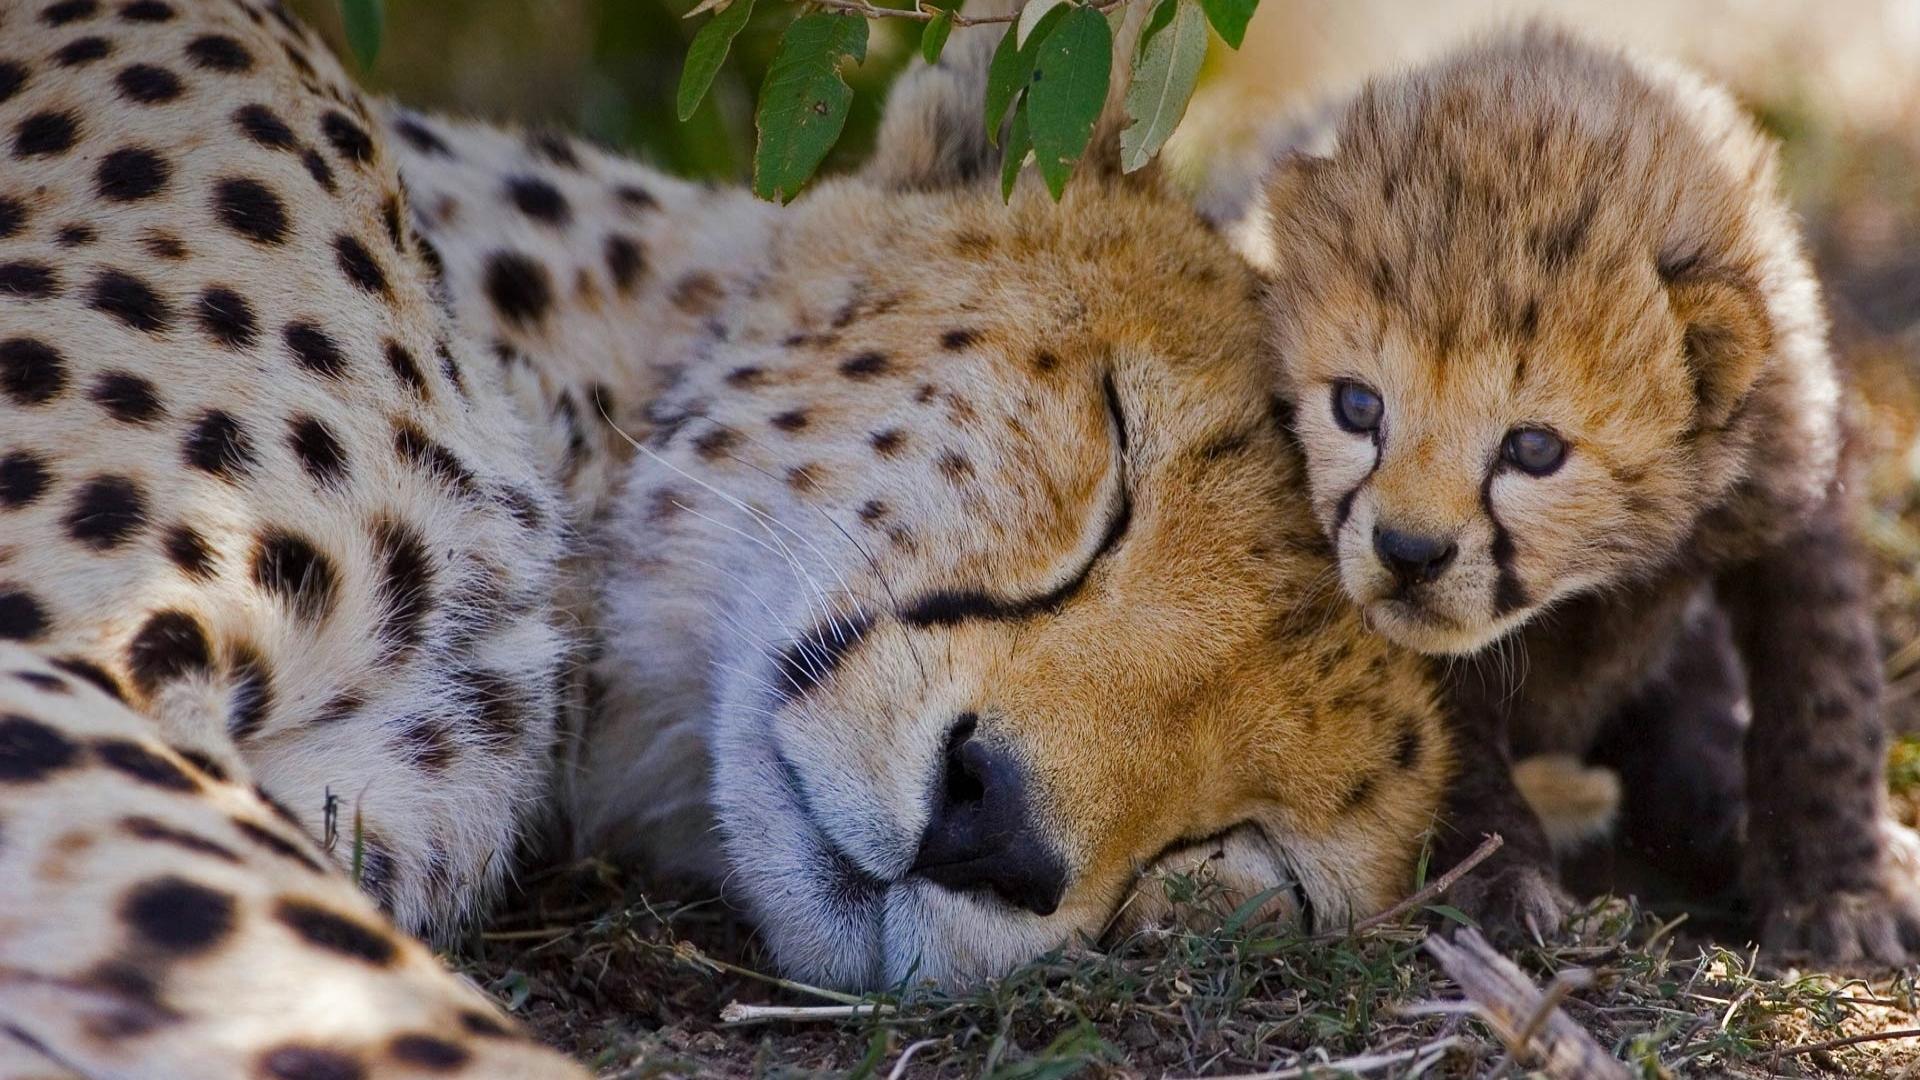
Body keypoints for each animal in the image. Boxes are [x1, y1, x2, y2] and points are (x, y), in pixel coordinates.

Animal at [1247, 23, 1920, 963]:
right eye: (1358, 405)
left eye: (1532, 448)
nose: (1409, 555)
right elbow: (1447, 732)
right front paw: (1496, 882)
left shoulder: (1788, 480)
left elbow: (1825, 687)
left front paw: (1837, 888)